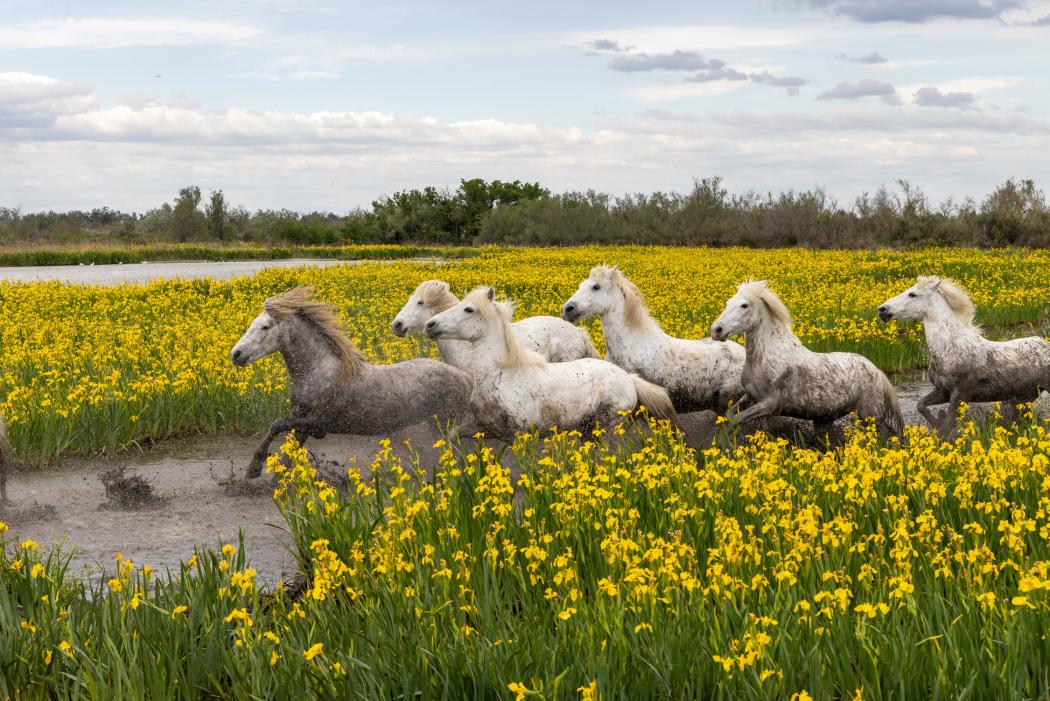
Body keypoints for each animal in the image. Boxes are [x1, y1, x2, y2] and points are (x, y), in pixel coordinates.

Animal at [230, 287, 473, 478]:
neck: (319, 371)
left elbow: (277, 424)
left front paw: (254, 468)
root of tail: (465, 377)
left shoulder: (319, 421)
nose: (236, 354)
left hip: (445, 422)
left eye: (265, 326)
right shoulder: (303, 423)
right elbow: (289, 451)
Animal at [424, 286, 677, 438]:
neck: (504, 377)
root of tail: (628, 378)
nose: (430, 325)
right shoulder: (481, 428)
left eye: (469, 309)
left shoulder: (520, 434)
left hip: (607, 424)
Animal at [712, 280, 902, 438]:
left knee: (886, 434)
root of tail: (876, 370)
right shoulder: (751, 395)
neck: (766, 357)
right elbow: (729, 415)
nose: (716, 330)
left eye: (744, 305)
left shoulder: (770, 404)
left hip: (869, 415)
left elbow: (736, 420)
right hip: (825, 419)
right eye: (727, 303)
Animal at [878, 276, 1050, 434]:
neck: (950, 348)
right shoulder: (942, 392)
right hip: (1026, 395)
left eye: (912, 294)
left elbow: (948, 425)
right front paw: (937, 423)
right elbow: (921, 405)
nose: (882, 310)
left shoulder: (959, 395)